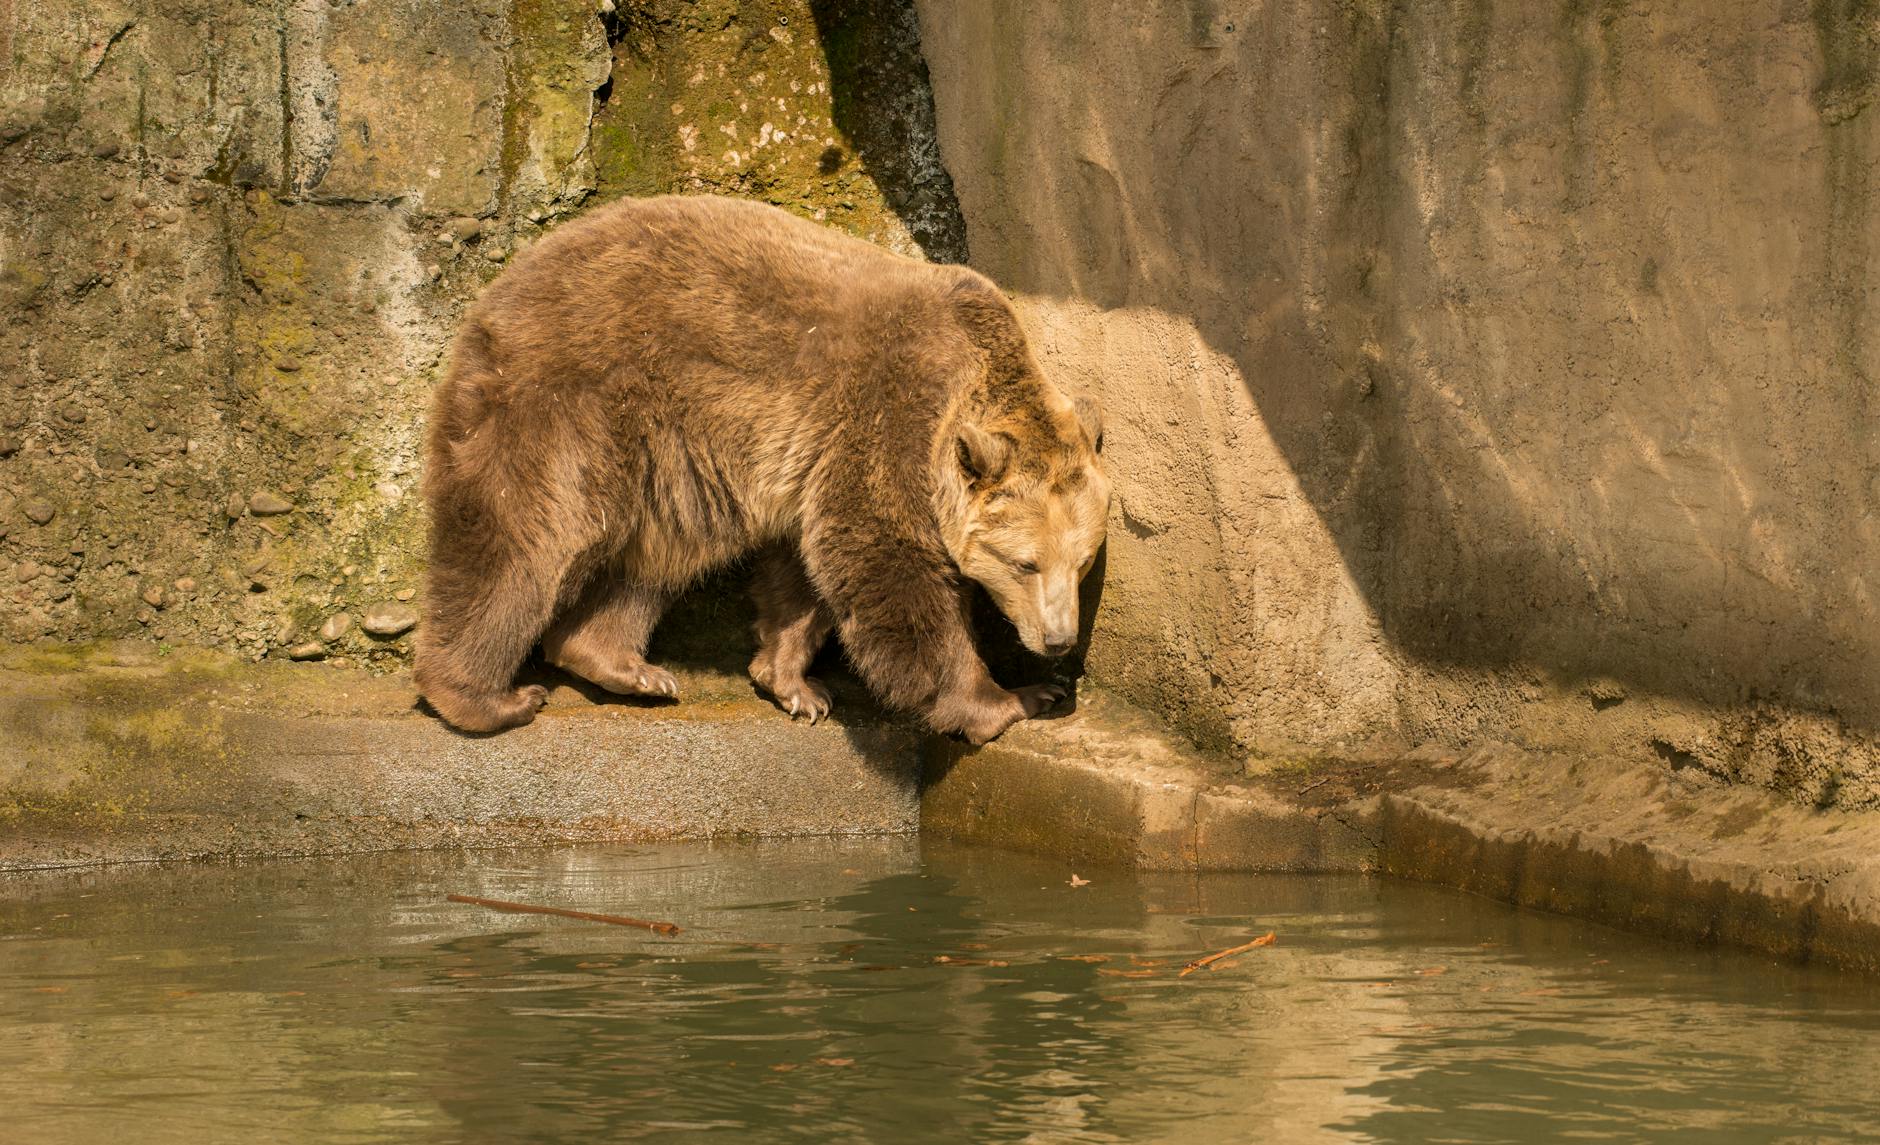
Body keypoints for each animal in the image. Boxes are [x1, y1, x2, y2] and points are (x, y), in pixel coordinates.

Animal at [413, 194, 1110, 744]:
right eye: (1025, 563)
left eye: (1082, 561)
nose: (1058, 641)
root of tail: (499, 290)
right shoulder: (893, 416)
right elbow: (887, 562)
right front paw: (1012, 699)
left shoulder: (816, 456)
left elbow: (804, 570)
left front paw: (794, 683)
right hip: (571, 396)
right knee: (527, 538)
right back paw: (487, 697)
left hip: (658, 459)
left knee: (647, 558)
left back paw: (625, 664)